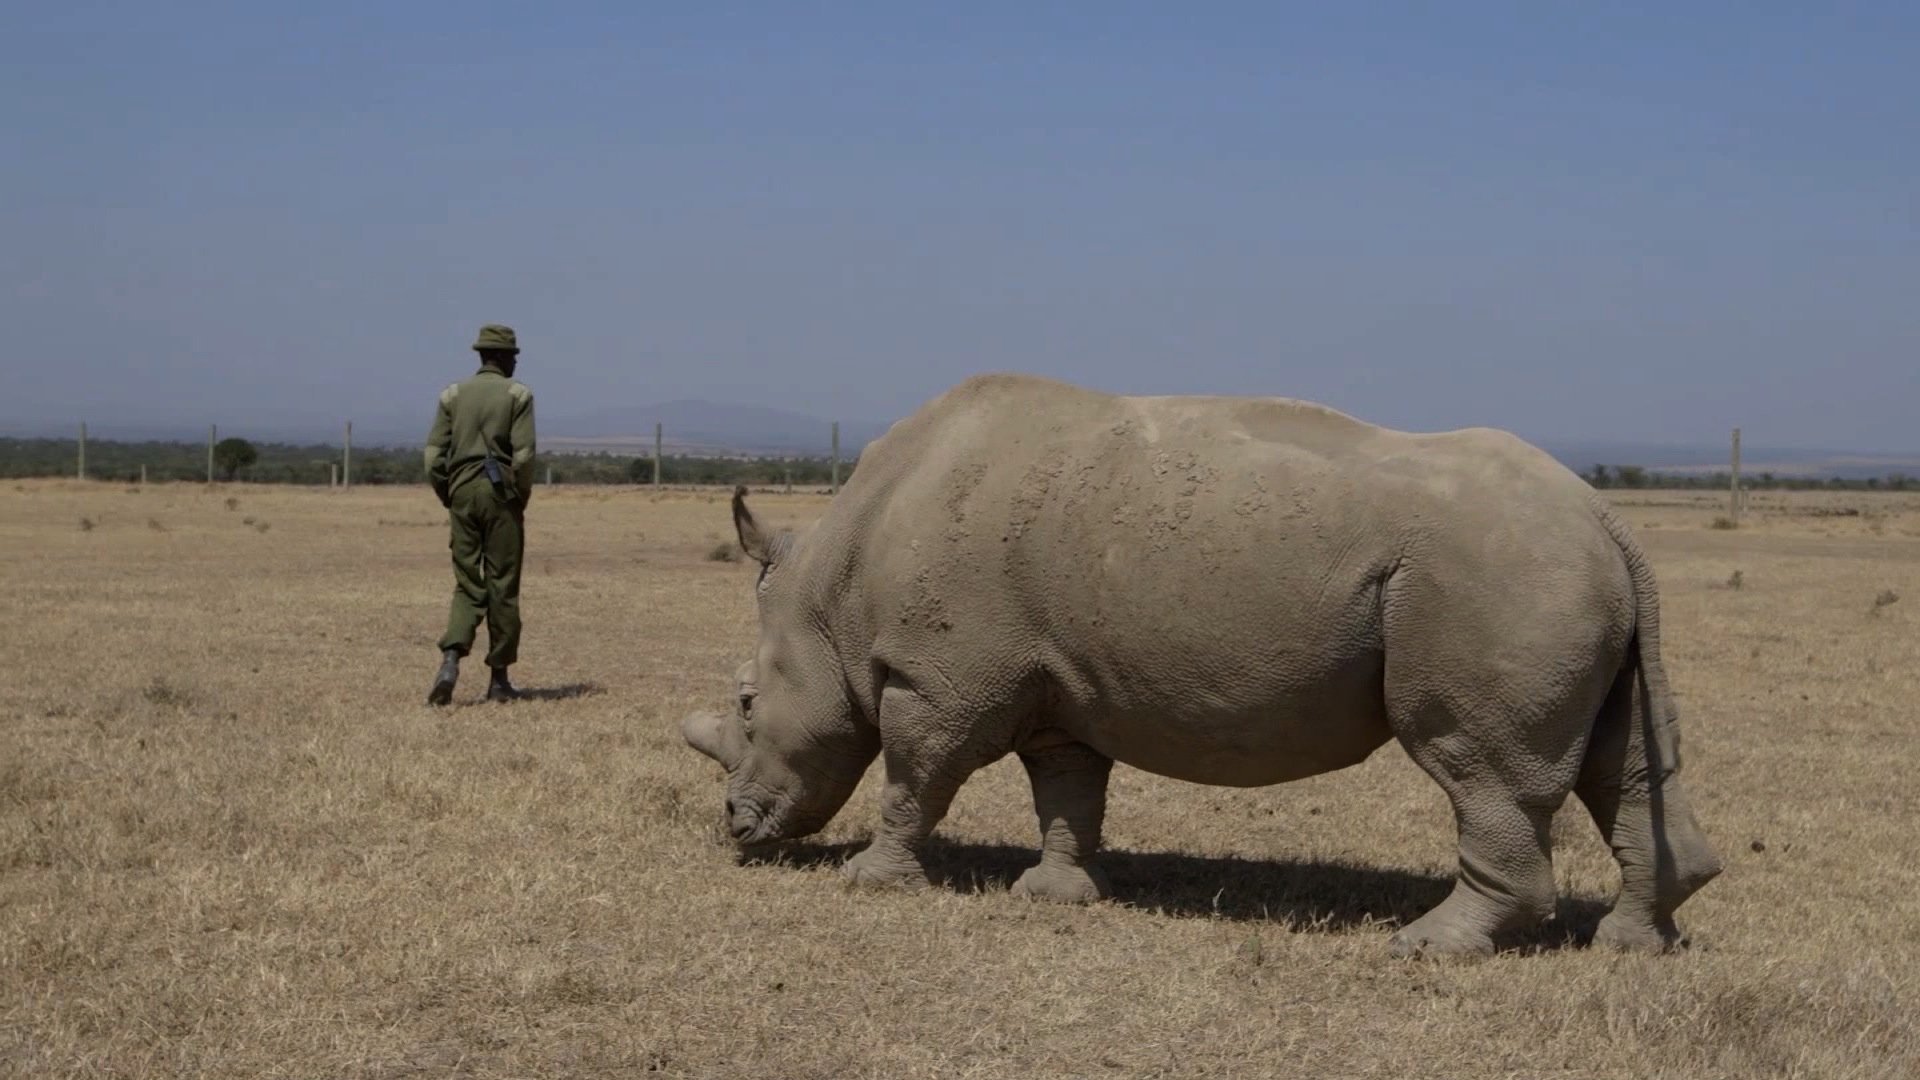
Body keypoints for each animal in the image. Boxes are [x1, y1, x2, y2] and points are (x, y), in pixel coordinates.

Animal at [682, 374, 1722, 956]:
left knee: (1480, 768)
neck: (832, 588)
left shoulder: (941, 680)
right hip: (1560, 577)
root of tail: (1608, 520)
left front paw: (873, 880)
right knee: (1625, 766)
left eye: (747, 702)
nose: (735, 826)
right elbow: (1067, 788)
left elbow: (912, 775)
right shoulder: (1055, 681)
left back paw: (1429, 949)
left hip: (1494, 580)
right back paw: (1634, 945)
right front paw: (1058, 896)